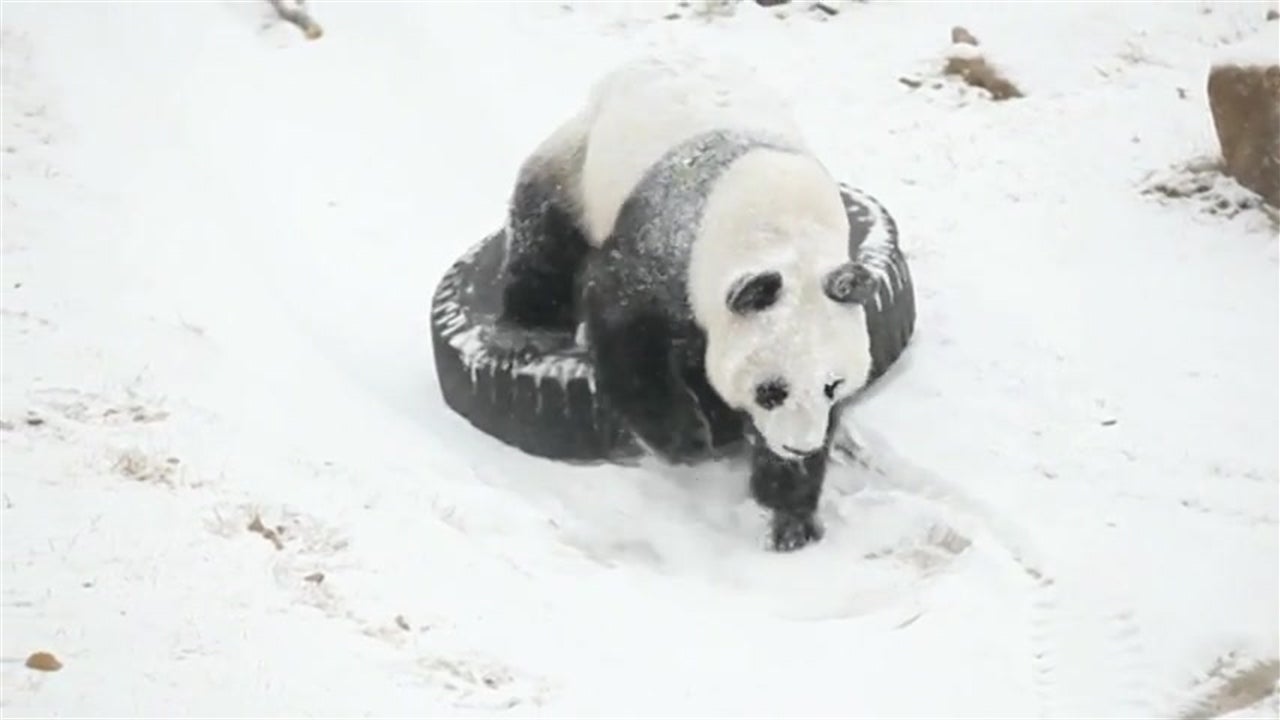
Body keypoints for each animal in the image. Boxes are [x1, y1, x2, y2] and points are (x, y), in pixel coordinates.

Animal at [496, 54, 880, 552]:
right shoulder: (667, 241)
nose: (799, 446)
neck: (782, 229)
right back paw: (526, 327)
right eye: (771, 390)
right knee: (543, 232)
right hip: (578, 165)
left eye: (833, 385)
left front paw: (790, 513)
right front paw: (688, 439)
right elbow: (623, 324)